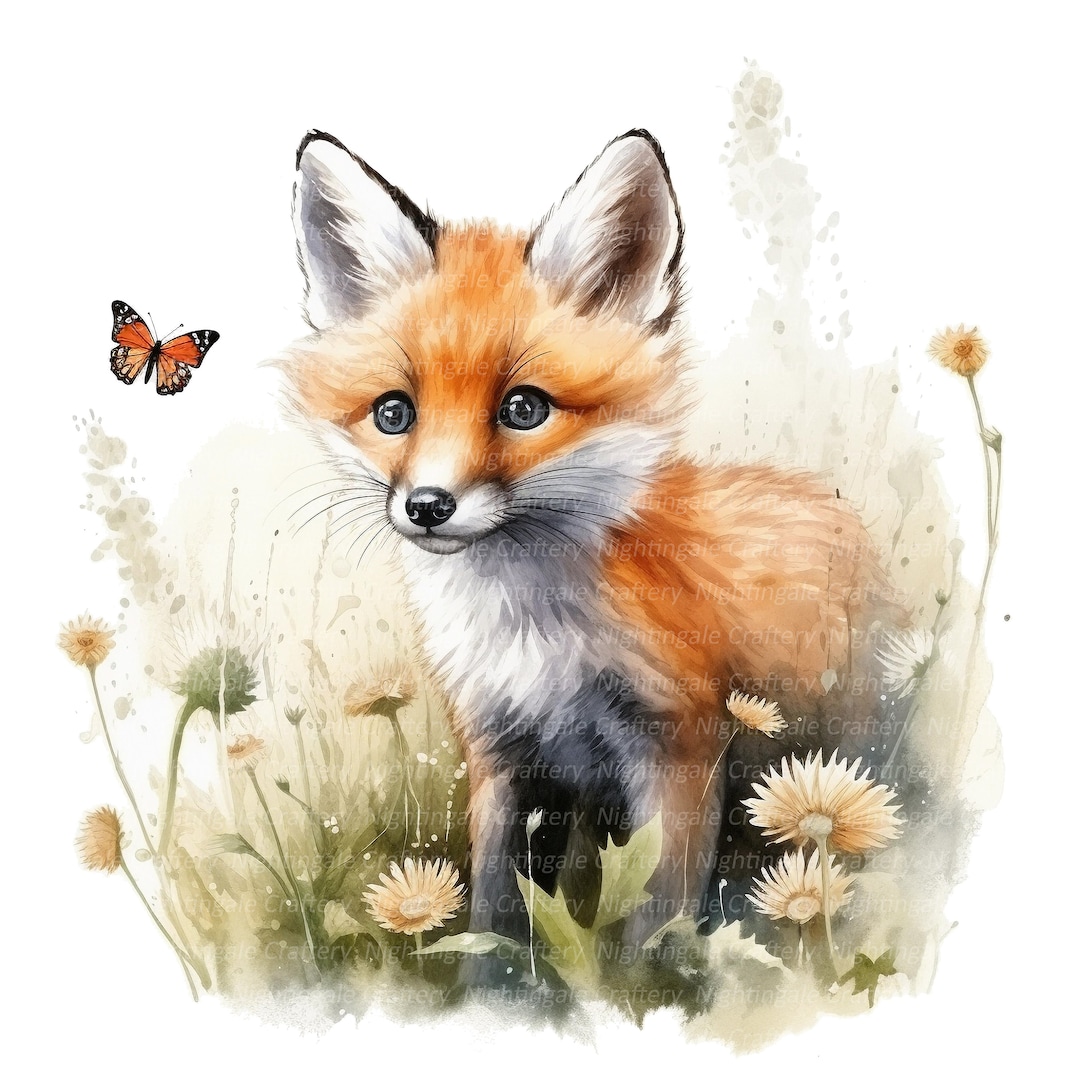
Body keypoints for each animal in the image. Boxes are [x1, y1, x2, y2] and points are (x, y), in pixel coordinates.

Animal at [283, 128, 910, 966]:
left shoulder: (679, 750)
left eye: (524, 408)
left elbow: (653, 926)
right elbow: (495, 915)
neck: (533, 634)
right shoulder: (506, 761)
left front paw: (647, 985)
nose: (428, 506)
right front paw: (498, 987)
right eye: (394, 413)